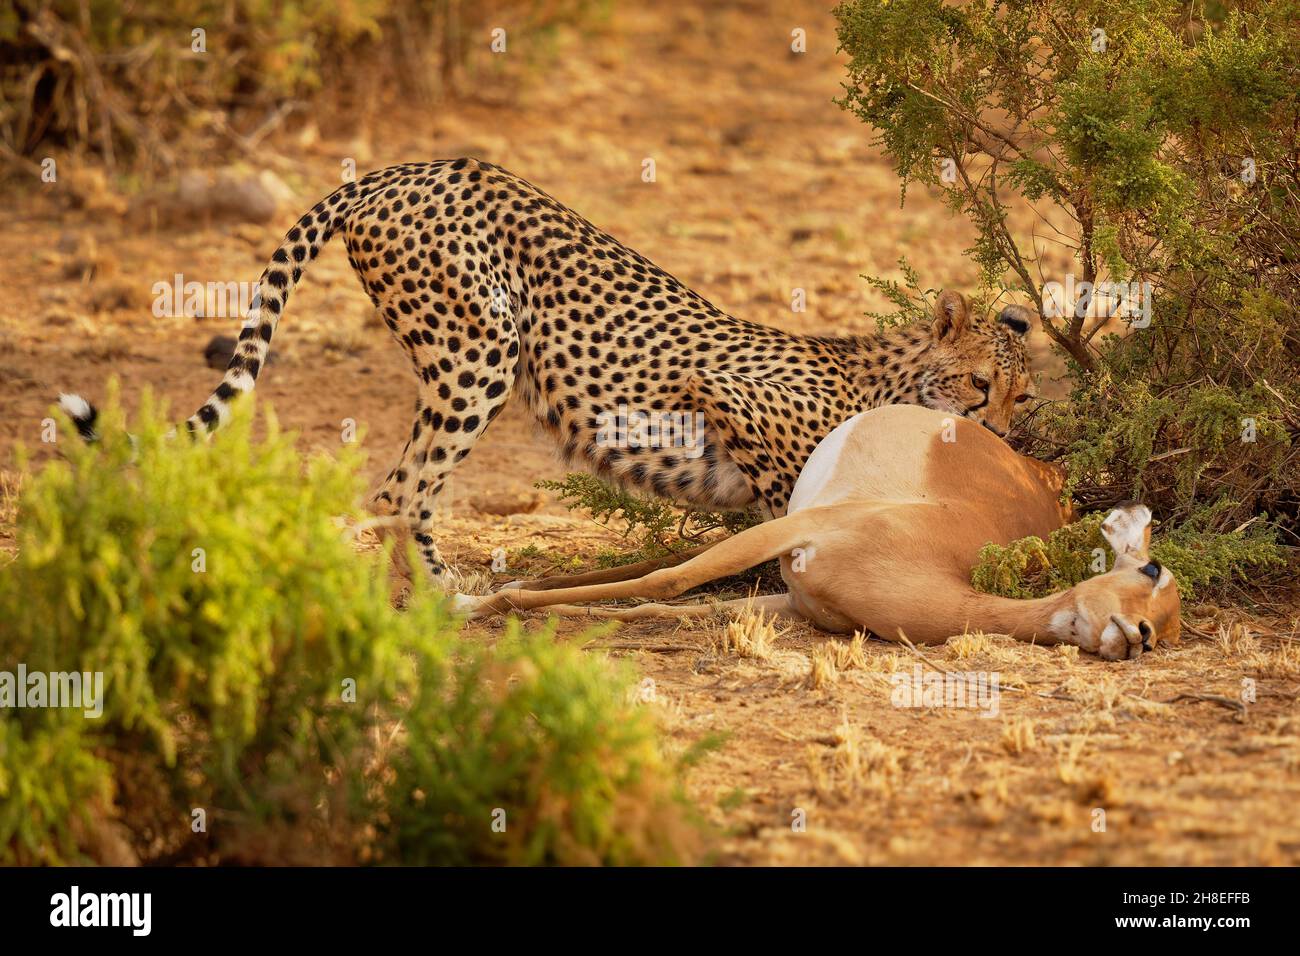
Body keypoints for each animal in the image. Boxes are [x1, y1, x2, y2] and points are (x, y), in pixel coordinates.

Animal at [61, 158, 1036, 585]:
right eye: (981, 386)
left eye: (1025, 395)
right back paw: (440, 603)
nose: (1005, 434)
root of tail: (403, 168)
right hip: (479, 351)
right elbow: (786, 494)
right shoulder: (728, 396)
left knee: (400, 485)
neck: (893, 384)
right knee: (403, 486)